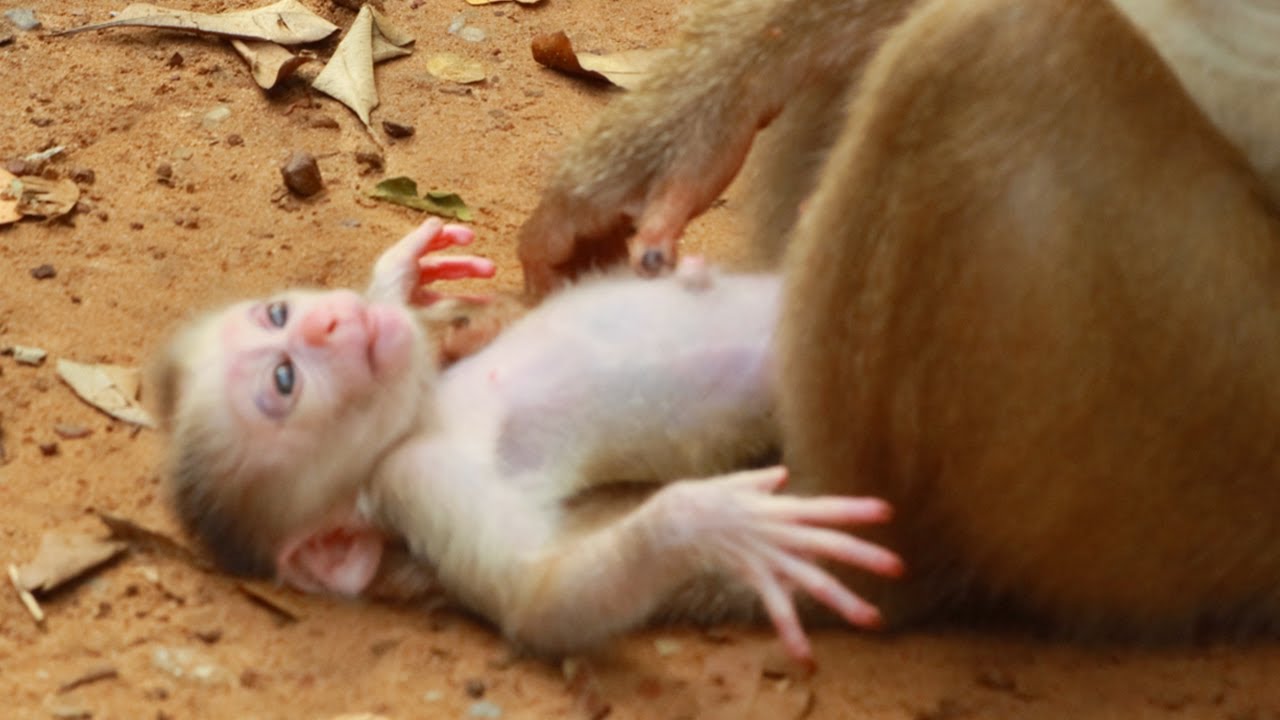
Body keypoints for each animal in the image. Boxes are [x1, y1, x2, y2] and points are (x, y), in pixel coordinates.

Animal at [151, 218, 904, 663]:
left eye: (277, 313)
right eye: (284, 380)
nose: (330, 321)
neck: (424, 410)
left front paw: (396, 277)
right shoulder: (414, 479)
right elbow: (542, 602)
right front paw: (708, 522)